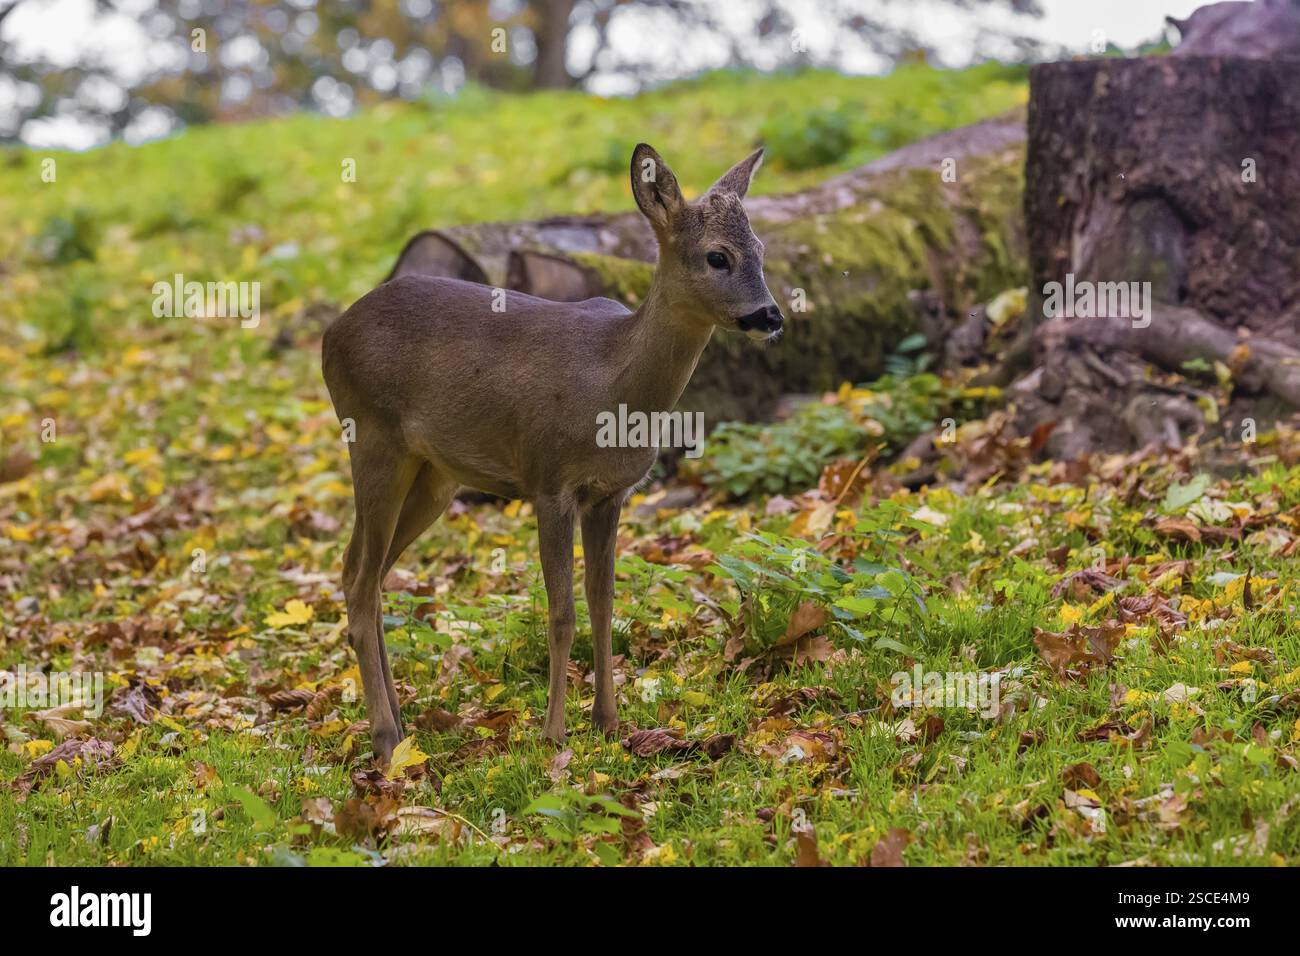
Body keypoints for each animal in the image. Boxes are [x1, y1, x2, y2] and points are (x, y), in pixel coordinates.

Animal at [322, 143, 783, 763]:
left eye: (760, 250)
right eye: (717, 256)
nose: (771, 316)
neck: (613, 386)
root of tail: (329, 335)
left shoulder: (612, 493)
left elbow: (603, 603)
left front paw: (609, 722)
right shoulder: (548, 480)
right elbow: (562, 612)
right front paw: (553, 734)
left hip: (433, 475)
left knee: (369, 578)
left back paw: (400, 721)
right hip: (371, 438)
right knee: (356, 576)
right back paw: (387, 738)